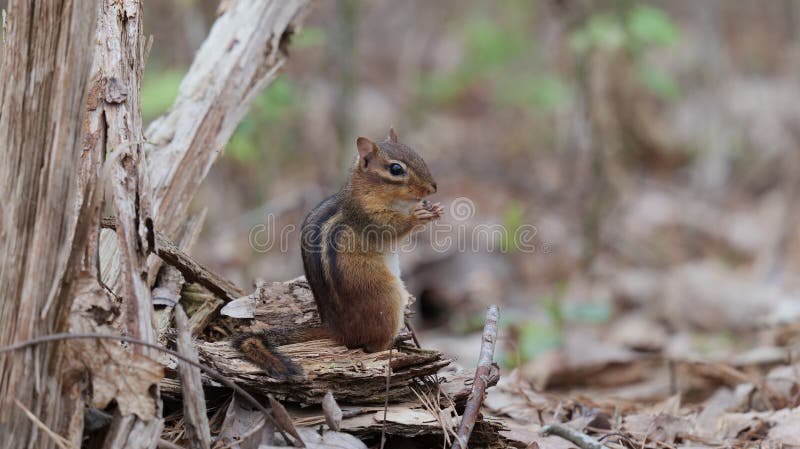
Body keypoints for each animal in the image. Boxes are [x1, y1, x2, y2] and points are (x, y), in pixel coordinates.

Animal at [233, 128, 443, 377]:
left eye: (417, 154)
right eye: (395, 169)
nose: (433, 188)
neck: (367, 191)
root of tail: (336, 328)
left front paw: (433, 208)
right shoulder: (369, 218)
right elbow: (393, 229)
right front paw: (417, 216)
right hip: (387, 297)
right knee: (375, 345)